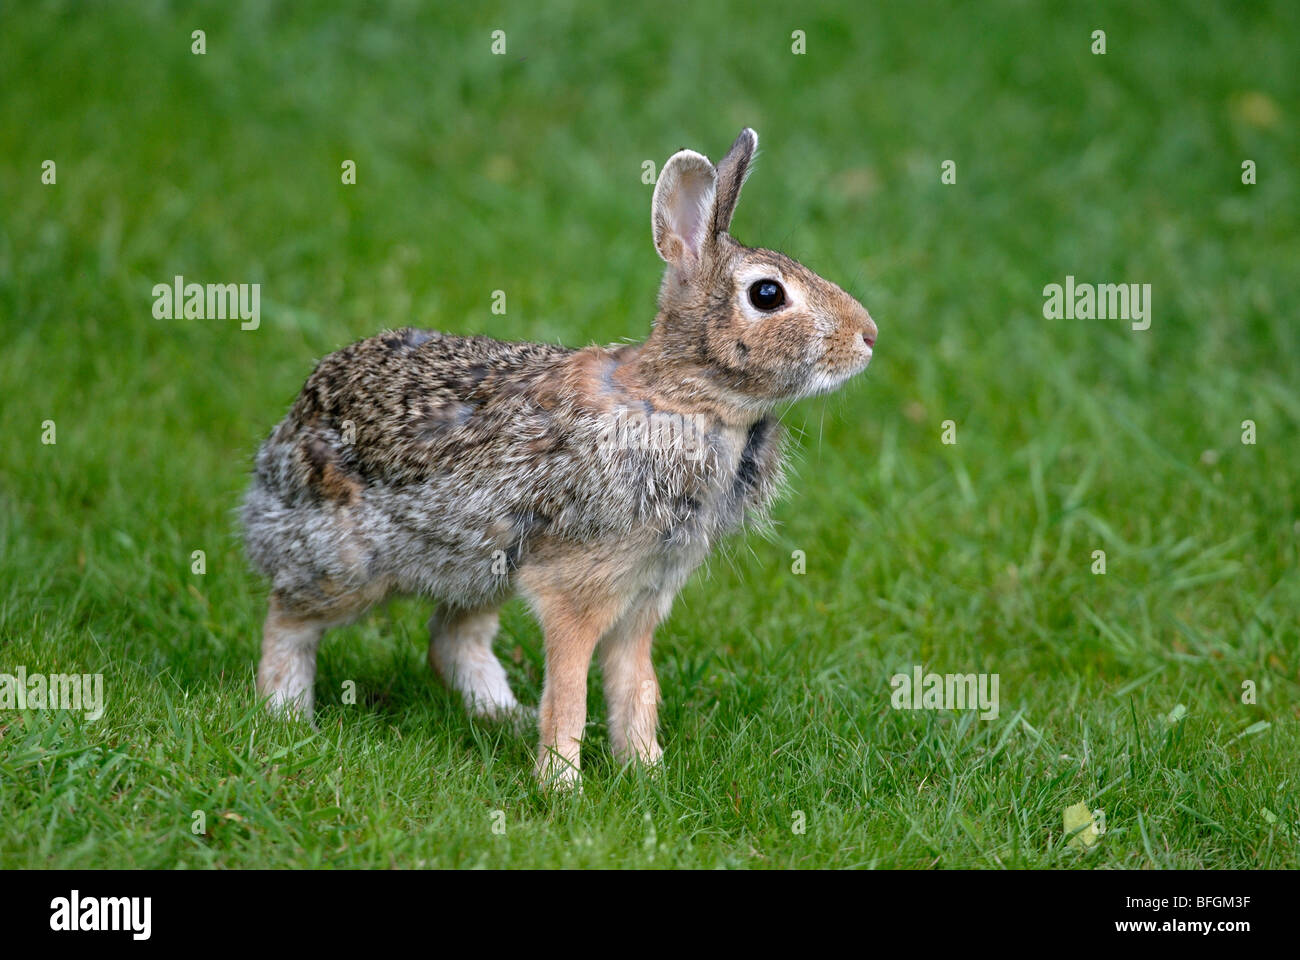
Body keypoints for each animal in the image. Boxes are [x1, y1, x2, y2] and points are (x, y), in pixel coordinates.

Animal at [242, 128, 877, 788]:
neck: (681, 400)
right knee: (289, 618)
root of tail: (285, 437)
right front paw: (562, 783)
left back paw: (505, 717)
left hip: (482, 565)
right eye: (767, 293)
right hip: (348, 564)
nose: (869, 336)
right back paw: (286, 715)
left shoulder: (645, 596)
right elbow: (571, 688)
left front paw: (646, 770)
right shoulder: (576, 588)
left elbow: (635, 685)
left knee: (451, 638)